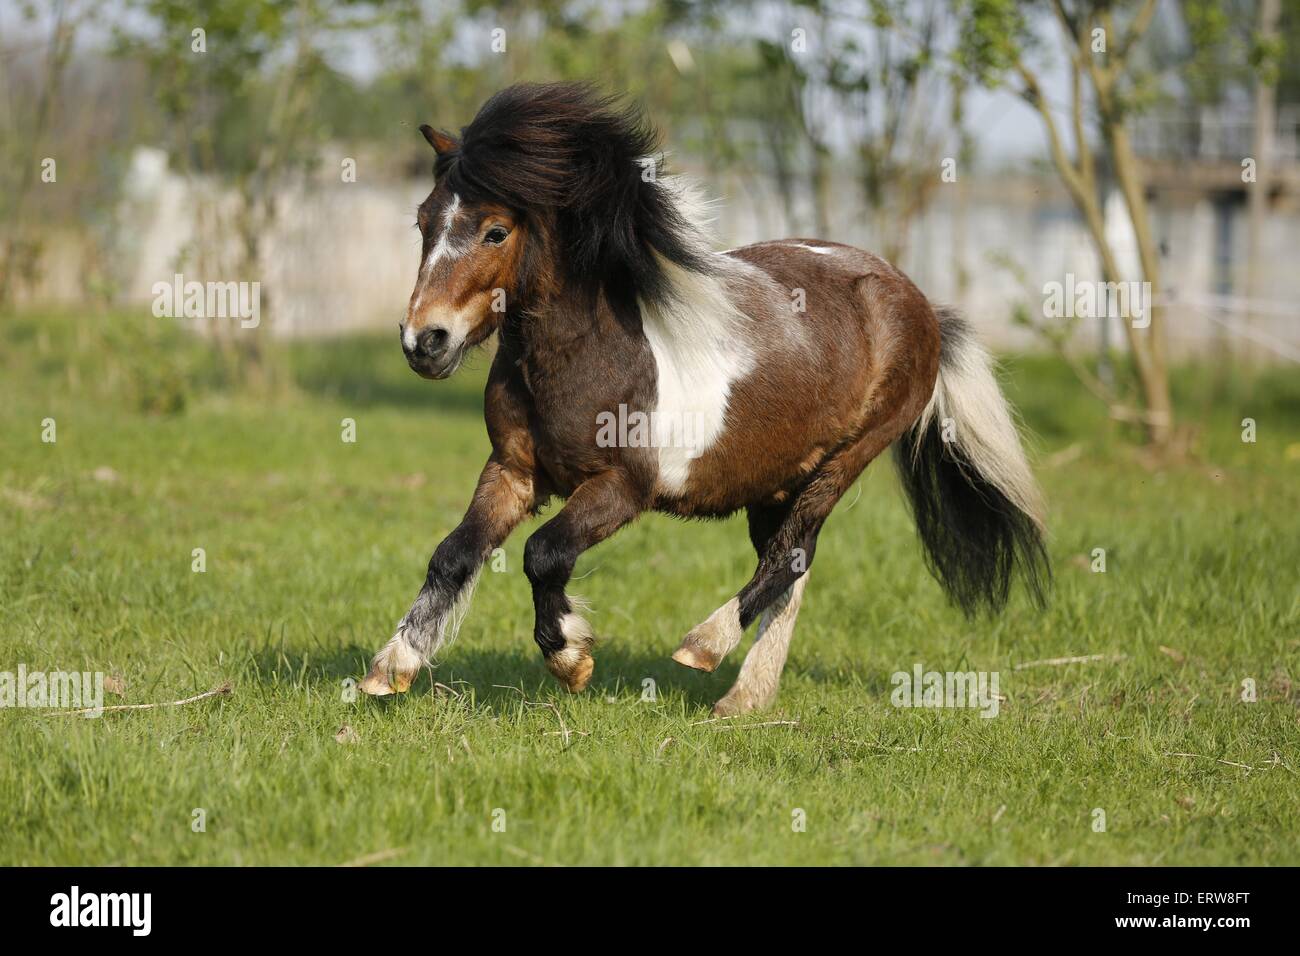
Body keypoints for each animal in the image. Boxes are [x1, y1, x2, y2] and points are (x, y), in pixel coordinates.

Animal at [358, 82, 1049, 715]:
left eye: (496, 231)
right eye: (423, 221)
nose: (425, 341)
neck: (585, 356)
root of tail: (918, 303)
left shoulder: (623, 487)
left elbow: (543, 553)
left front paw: (571, 658)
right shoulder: (513, 472)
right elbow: (453, 555)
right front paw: (392, 668)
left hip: (846, 459)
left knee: (787, 561)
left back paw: (704, 650)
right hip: (776, 481)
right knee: (792, 567)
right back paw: (746, 700)